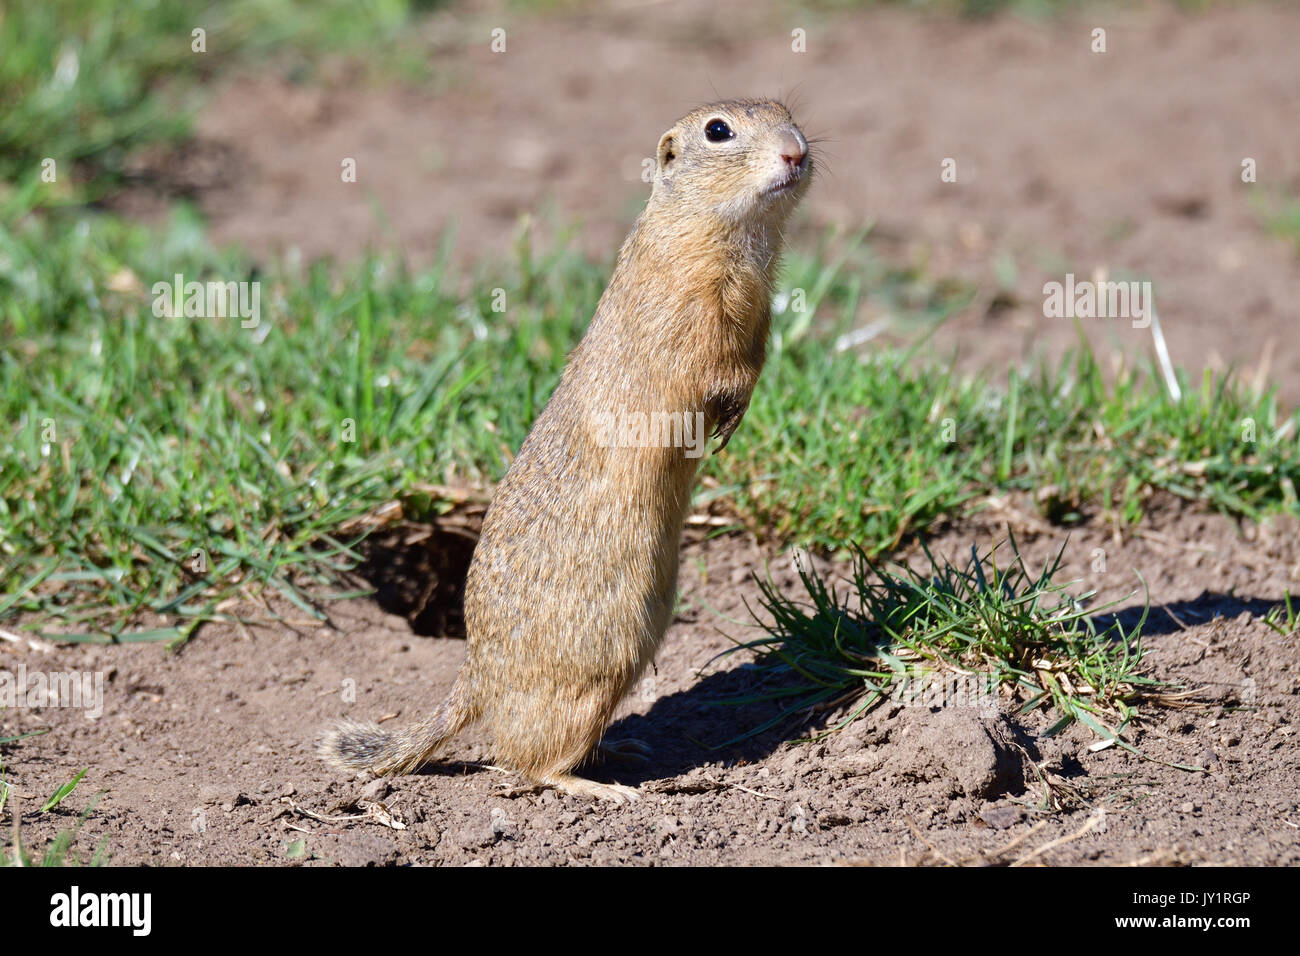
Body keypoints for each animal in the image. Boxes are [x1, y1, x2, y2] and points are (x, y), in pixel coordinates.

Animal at [320, 99, 813, 803]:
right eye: (718, 131)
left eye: (787, 112)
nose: (797, 151)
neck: (733, 238)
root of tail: (475, 675)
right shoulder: (692, 313)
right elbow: (708, 368)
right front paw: (724, 416)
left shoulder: (760, 314)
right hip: (586, 678)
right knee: (522, 761)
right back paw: (602, 788)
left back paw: (622, 750)